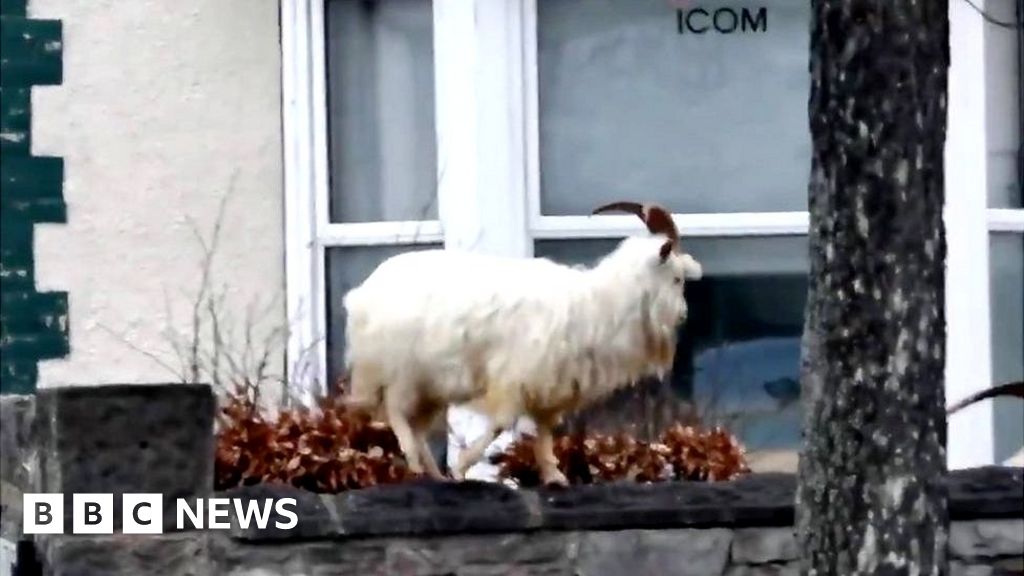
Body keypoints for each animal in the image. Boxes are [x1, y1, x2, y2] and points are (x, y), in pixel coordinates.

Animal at [341, 201, 703, 485]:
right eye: (677, 279)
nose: (685, 315)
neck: (599, 304)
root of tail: (364, 292)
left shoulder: (550, 386)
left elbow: (543, 433)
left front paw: (554, 476)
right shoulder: (515, 376)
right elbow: (502, 423)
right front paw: (463, 465)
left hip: (430, 385)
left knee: (414, 424)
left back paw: (433, 473)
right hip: (402, 370)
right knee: (396, 411)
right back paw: (417, 463)